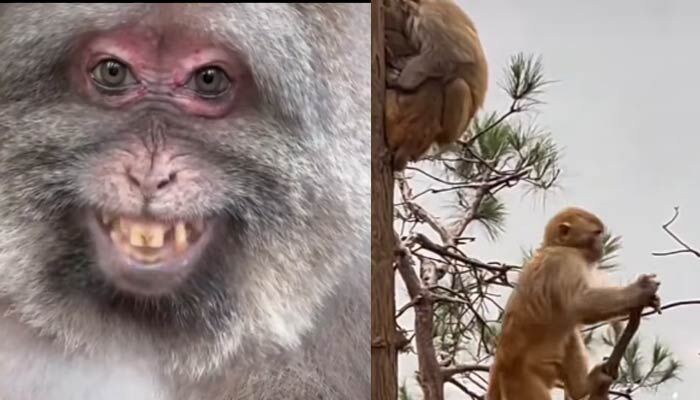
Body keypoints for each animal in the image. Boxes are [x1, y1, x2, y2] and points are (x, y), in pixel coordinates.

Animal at [487, 207, 660, 400]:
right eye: (597, 233)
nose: (602, 245)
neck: (559, 246)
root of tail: (500, 365)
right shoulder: (567, 261)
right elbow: (580, 304)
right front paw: (640, 291)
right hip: (523, 383)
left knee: (569, 331)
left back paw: (582, 387)